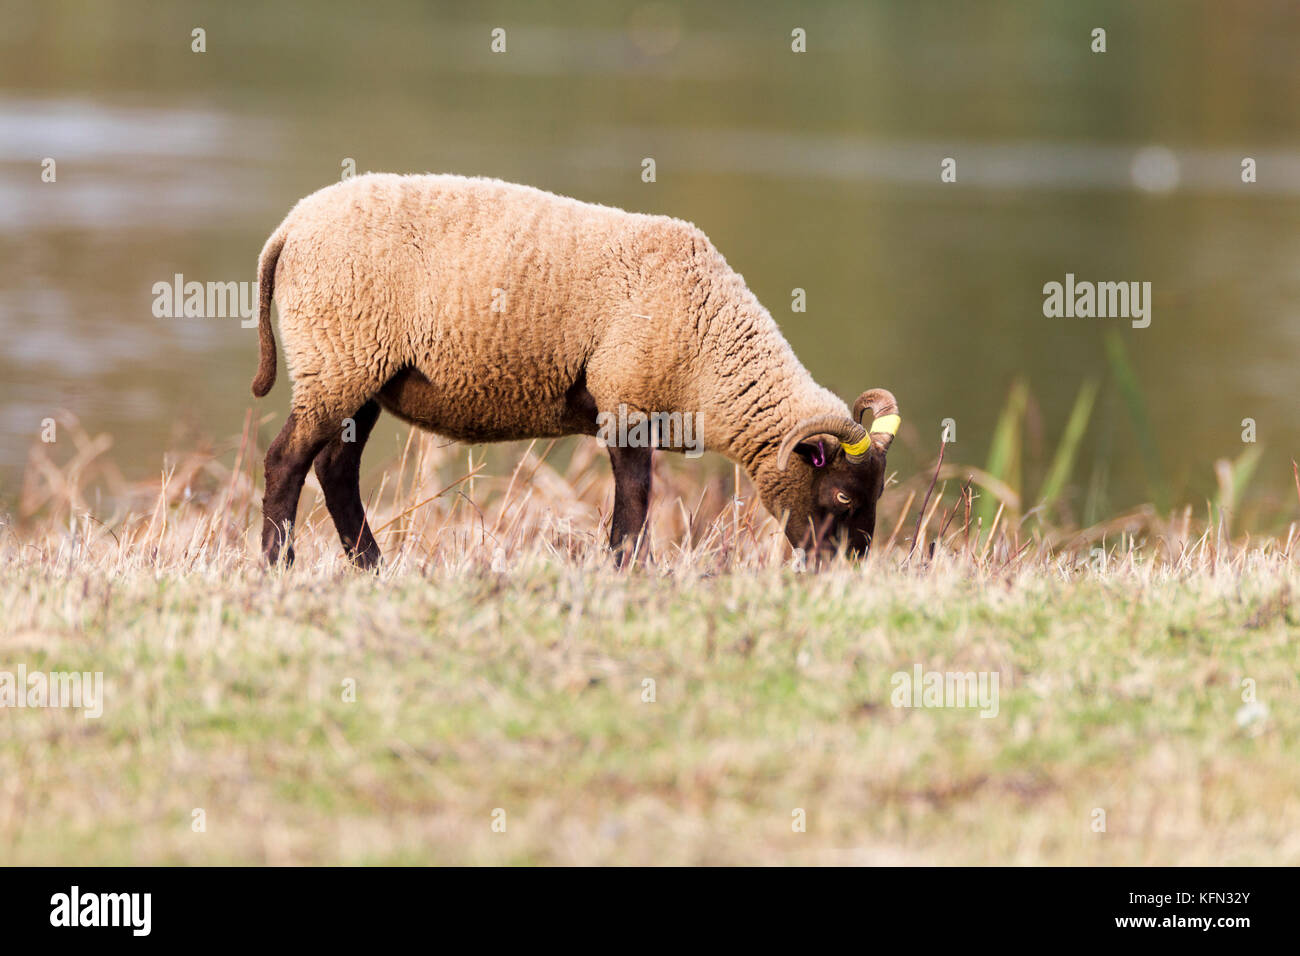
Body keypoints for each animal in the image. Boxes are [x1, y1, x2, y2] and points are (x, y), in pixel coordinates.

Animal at [250, 173, 901, 567]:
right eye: (843, 495)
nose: (849, 568)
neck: (712, 347)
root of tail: (289, 228)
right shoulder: (624, 403)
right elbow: (635, 502)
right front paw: (627, 571)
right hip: (338, 357)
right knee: (287, 461)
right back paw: (279, 565)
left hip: (360, 373)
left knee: (335, 470)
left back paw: (372, 569)